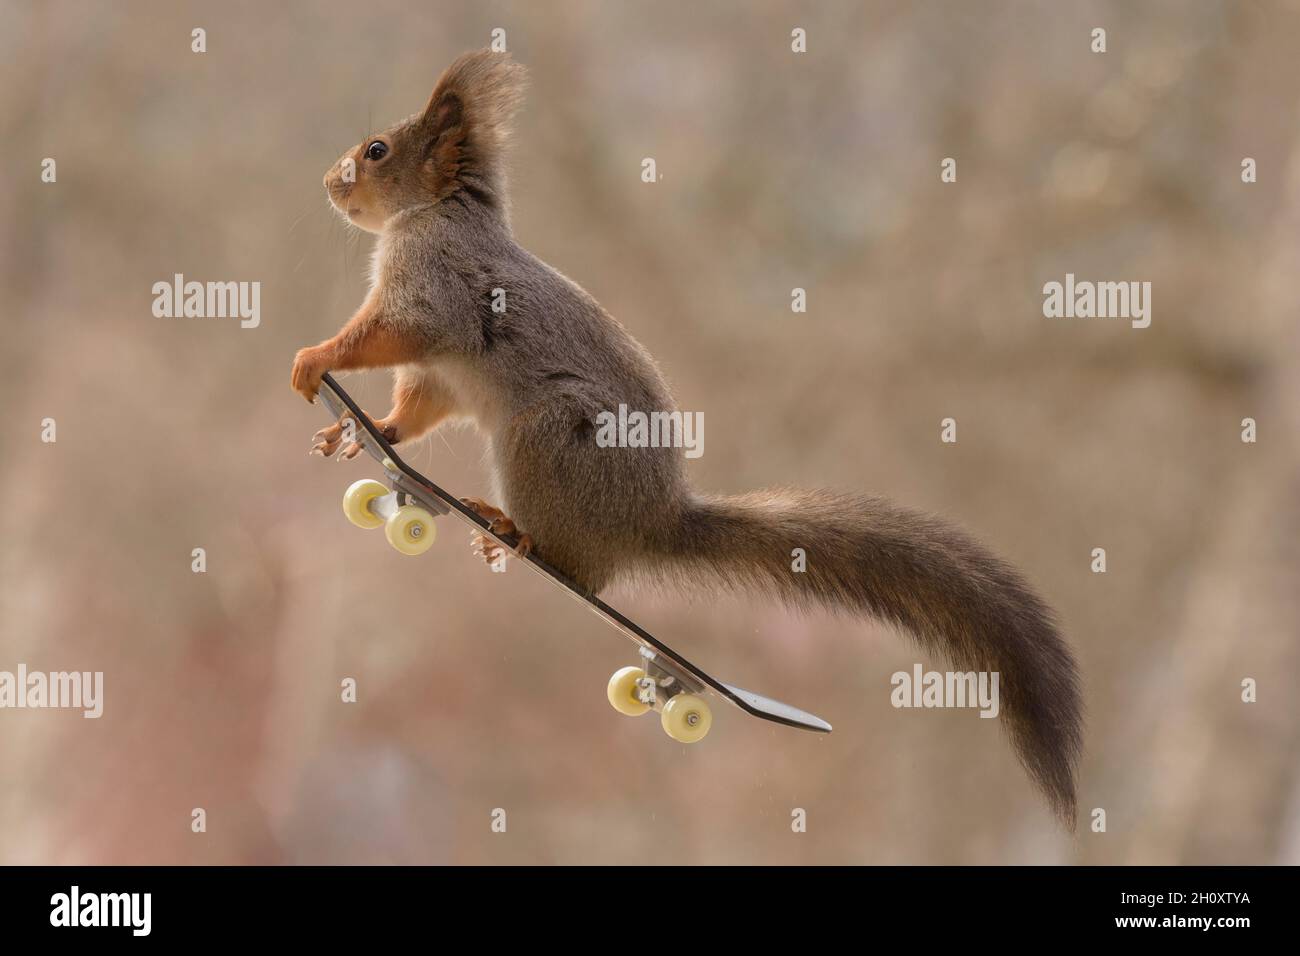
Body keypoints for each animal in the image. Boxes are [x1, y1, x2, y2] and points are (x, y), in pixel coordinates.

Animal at [292, 50, 1083, 827]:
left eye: (376, 150)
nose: (330, 183)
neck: (433, 214)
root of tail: (649, 523)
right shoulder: (440, 376)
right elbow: (418, 405)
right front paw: (371, 429)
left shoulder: (436, 293)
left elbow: (385, 335)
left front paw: (316, 357)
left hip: (549, 439)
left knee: (581, 569)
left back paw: (513, 529)